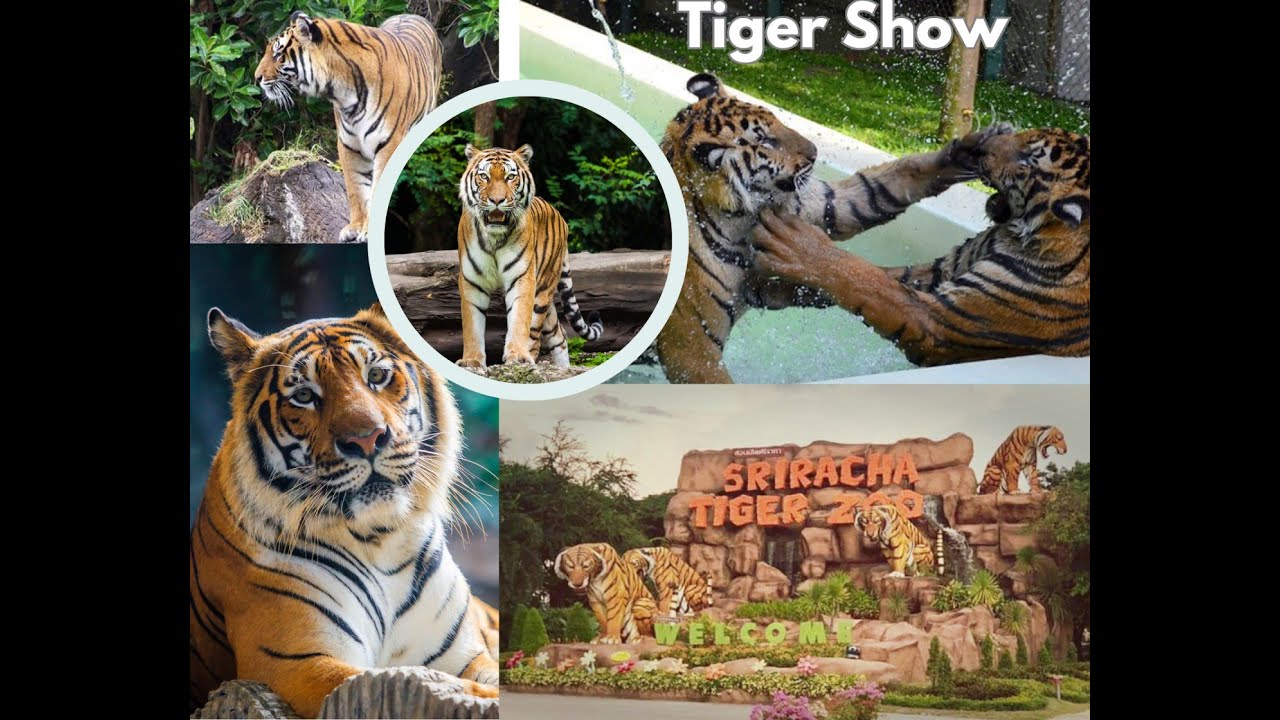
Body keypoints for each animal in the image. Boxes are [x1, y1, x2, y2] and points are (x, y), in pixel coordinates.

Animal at [189, 305, 497, 718]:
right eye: (304, 395)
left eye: (377, 376)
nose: (366, 439)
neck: (381, 541)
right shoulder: (299, 663)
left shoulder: (468, 656)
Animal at [255, 12, 442, 243]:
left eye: (278, 54)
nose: (257, 78)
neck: (344, 92)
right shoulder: (349, 145)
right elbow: (355, 189)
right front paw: (355, 228)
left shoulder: (389, 144)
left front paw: (368, 231)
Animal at [457, 144, 604, 368]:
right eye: (484, 176)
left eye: (510, 177)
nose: (496, 201)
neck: (494, 238)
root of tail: (560, 216)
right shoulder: (472, 281)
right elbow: (472, 325)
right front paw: (471, 361)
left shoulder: (523, 278)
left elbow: (519, 320)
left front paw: (517, 355)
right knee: (559, 334)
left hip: (542, 289)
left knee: (536, 333)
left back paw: (530, 358)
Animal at [654, 73, 1001, 383]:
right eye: (765, 140)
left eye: (775, 119)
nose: (814, 152)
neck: (739, 218)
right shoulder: (690, 348)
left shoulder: (812, 207)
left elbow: (883, 185)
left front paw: (968, 150)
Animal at [751, 127, 1090, 366]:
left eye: (1028, 160)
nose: (981, 148)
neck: (1018, 235)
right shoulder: (945, 269)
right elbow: (884, 276)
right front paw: (771, 288)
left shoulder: (941, 324)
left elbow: (870, 284)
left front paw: (797, 247)